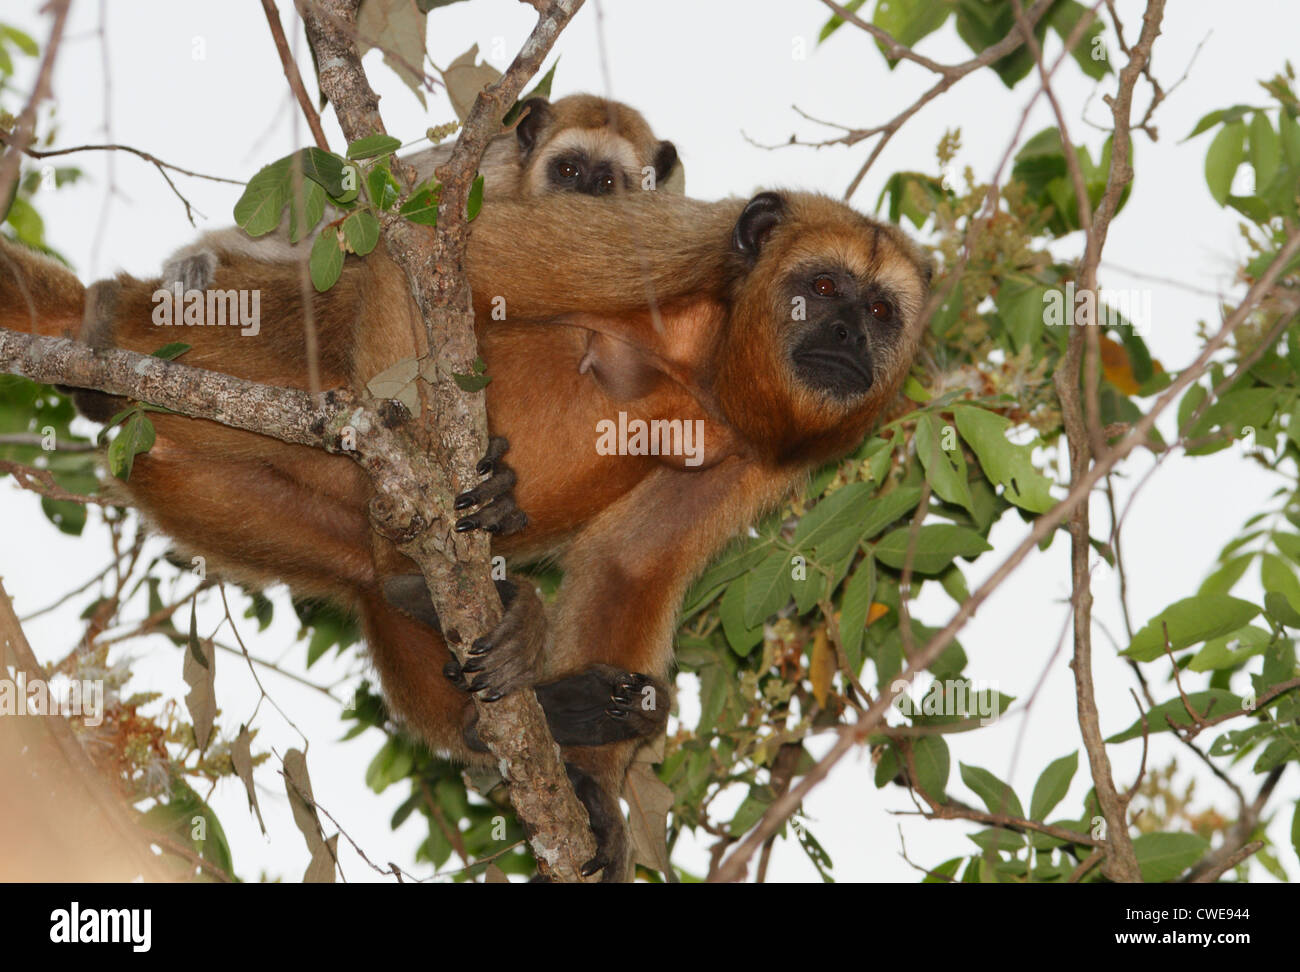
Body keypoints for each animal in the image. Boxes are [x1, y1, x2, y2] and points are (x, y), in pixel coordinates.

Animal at [0, 188, 930, 880]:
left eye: (883, 310)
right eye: (823, 288)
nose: (848, 335)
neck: (714, 356)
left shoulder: (770, 449)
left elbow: (633, 562)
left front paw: (596, 794)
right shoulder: (668, 242)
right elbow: (409, 260)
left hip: (186, 472)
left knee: (360, 579)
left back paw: (536, 707)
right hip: (200, 372)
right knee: (326, 325)